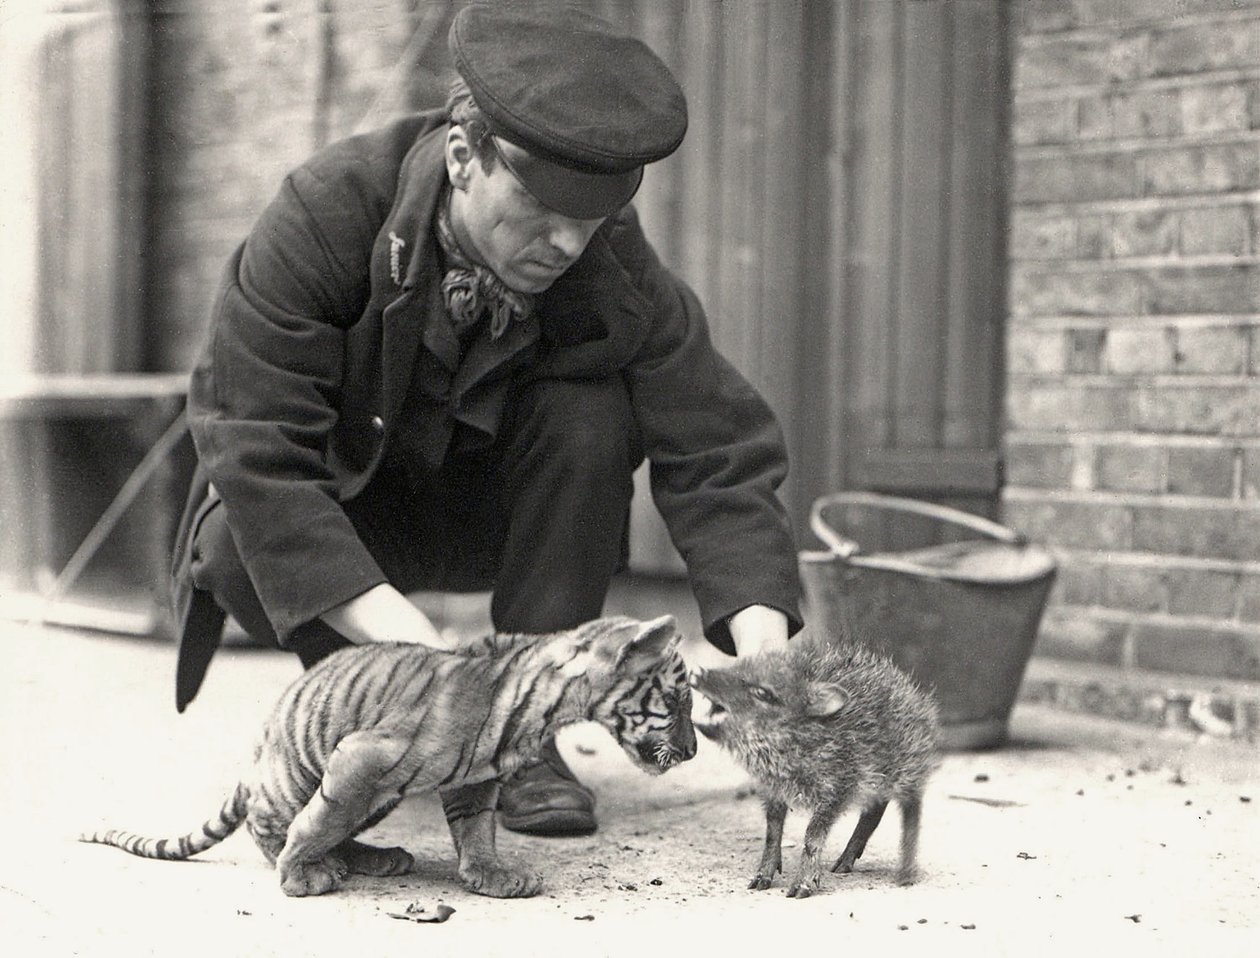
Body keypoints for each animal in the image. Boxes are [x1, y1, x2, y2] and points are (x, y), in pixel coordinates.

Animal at [80, 614, 696, 898]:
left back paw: (373, 859)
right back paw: (315, 864)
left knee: (338, 829)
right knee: (273, 823)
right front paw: (297, 876)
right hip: (301, 775)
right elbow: (318, 820)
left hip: (375, 798)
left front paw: (491, 875)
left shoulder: (474, 783)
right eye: (677, 699)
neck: (543, 707)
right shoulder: (358, 757)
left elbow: (476, 831)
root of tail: (258, 757)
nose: (692, 750)